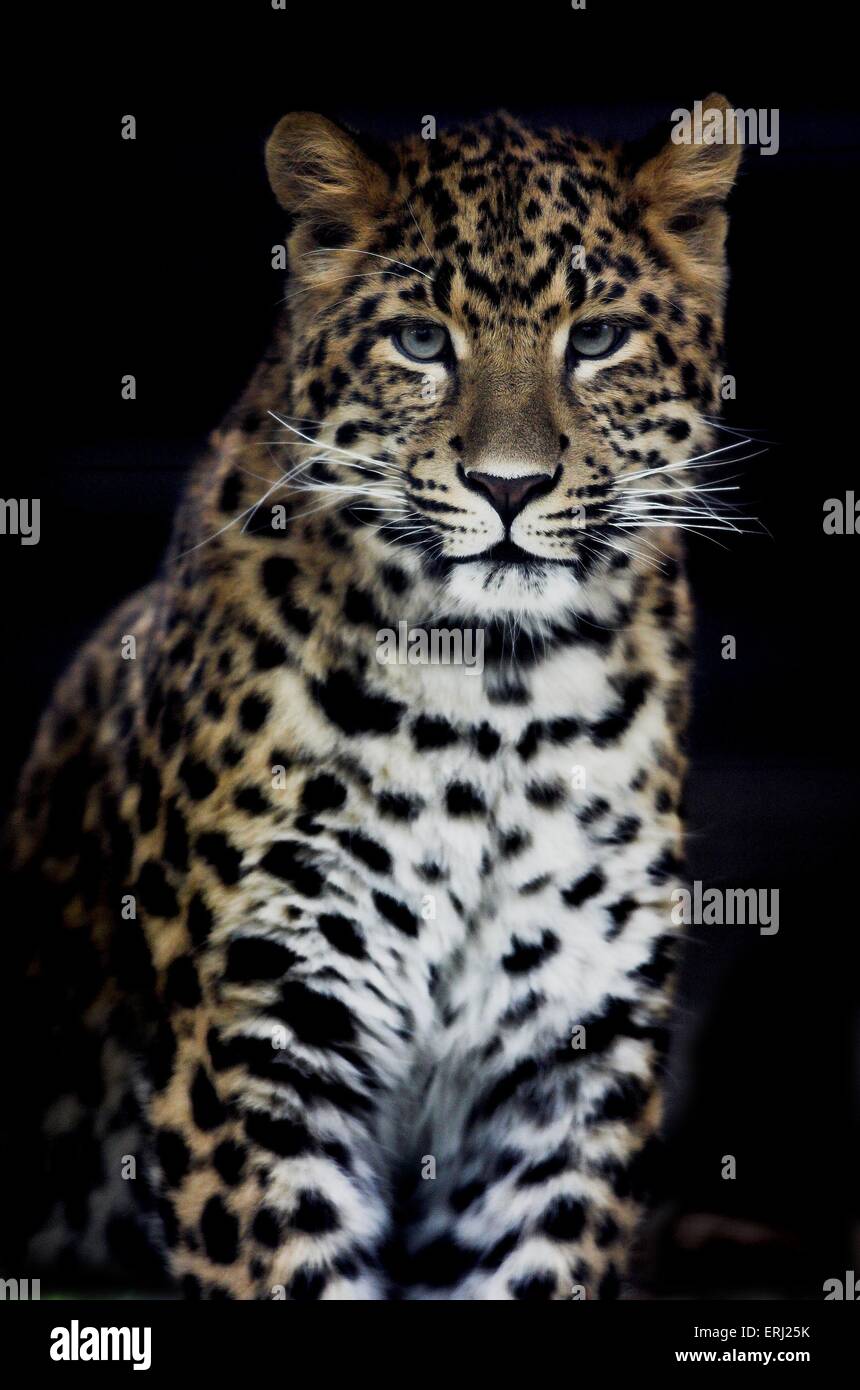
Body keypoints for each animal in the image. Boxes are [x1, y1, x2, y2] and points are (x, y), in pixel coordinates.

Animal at [2, 97, 742, 1299]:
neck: (499, 696)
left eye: (593, 340)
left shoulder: (562, 1069)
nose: (507, 487)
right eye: (421, 342)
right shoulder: (257, 1047)